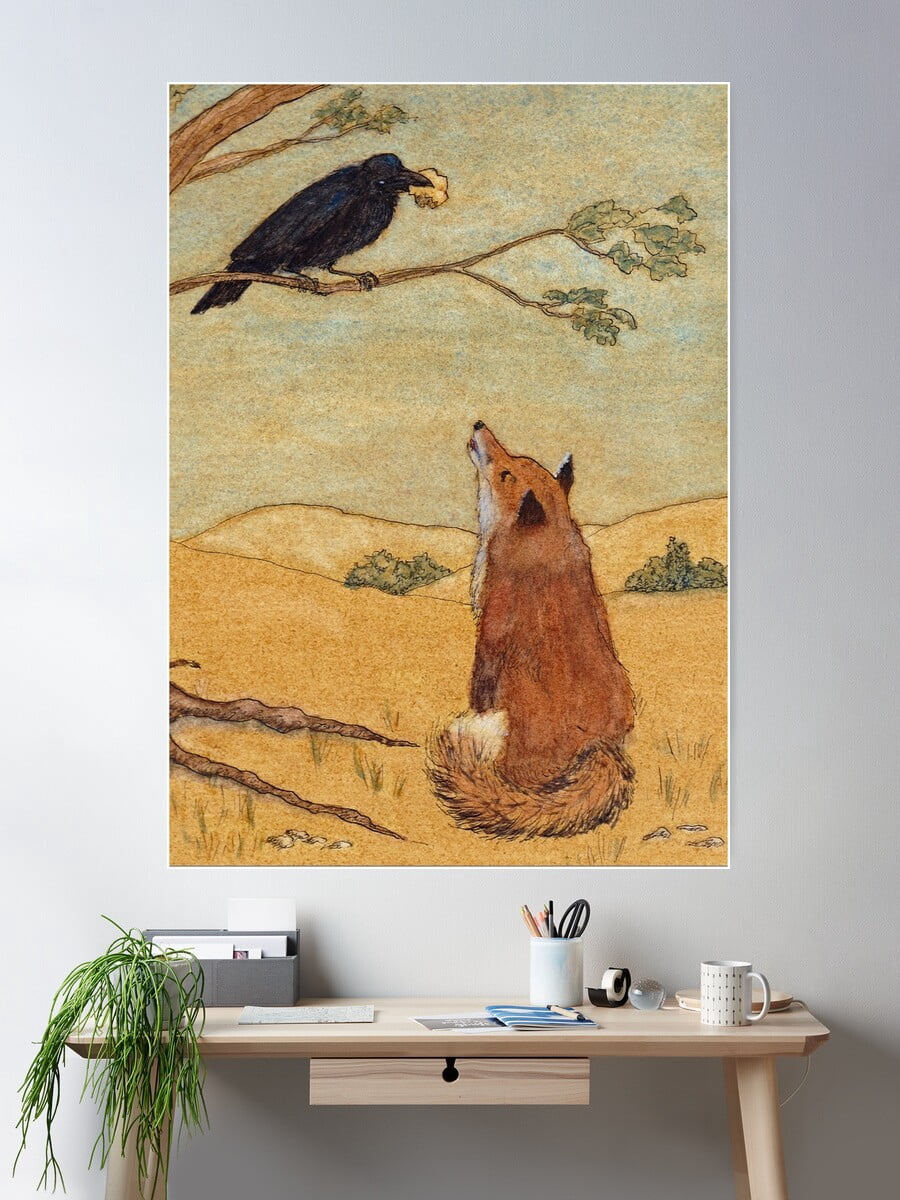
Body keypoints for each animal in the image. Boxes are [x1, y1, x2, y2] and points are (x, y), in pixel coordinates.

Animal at [428, 423, 635, 840]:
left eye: (506, 473)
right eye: (515, 462)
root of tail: (601, 746)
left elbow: (479, 684)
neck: (545, 541)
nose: (478, 425)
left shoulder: (492, 630)